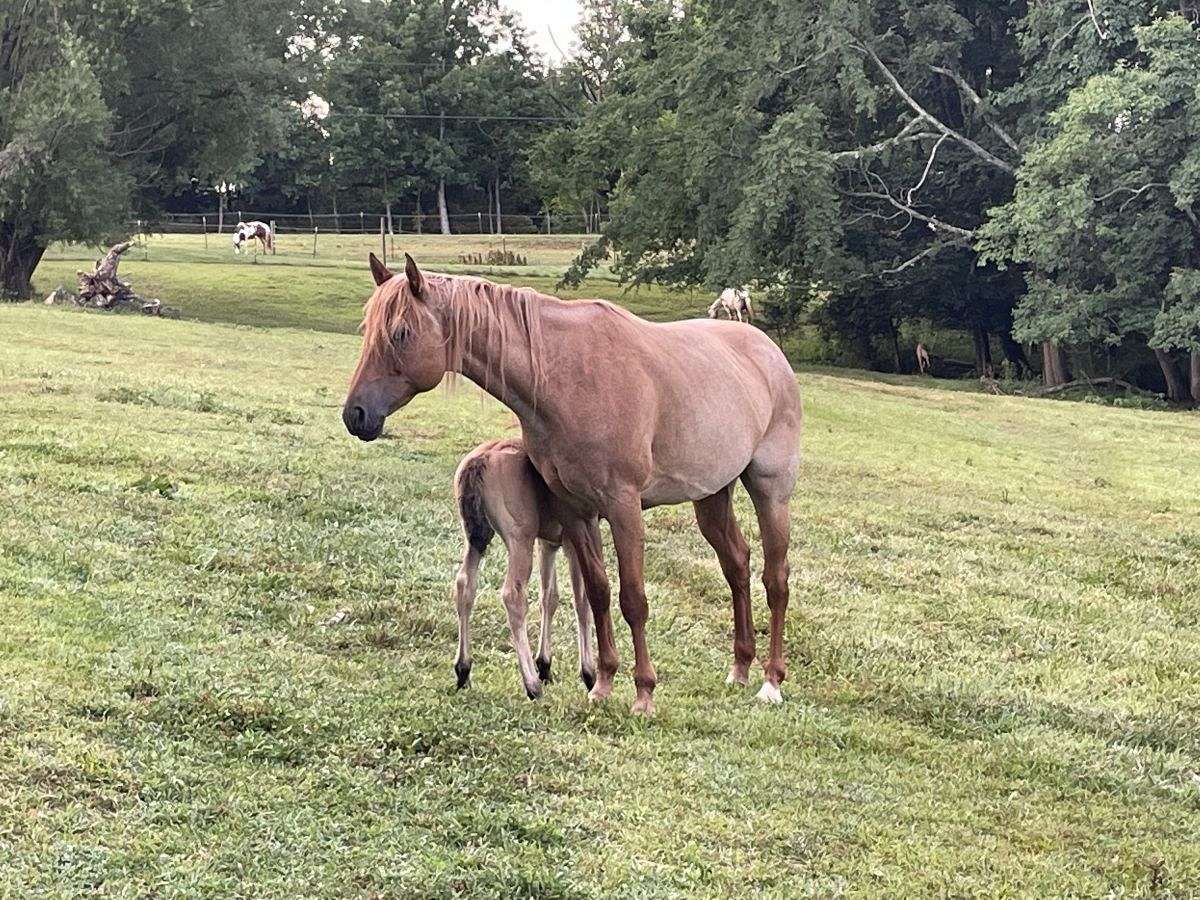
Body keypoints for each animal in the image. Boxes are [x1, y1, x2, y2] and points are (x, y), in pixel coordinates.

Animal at [451, 441, 595, 700]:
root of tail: (479, 461)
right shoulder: (574, 539)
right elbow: (582, 600)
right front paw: (589, 673)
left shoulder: (547, 542)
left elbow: (549, 597)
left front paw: (545, 665)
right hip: (519, 538)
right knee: (512, 595)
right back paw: (532, 685)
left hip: (476, 536)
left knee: (464, 583)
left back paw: (463, 671)